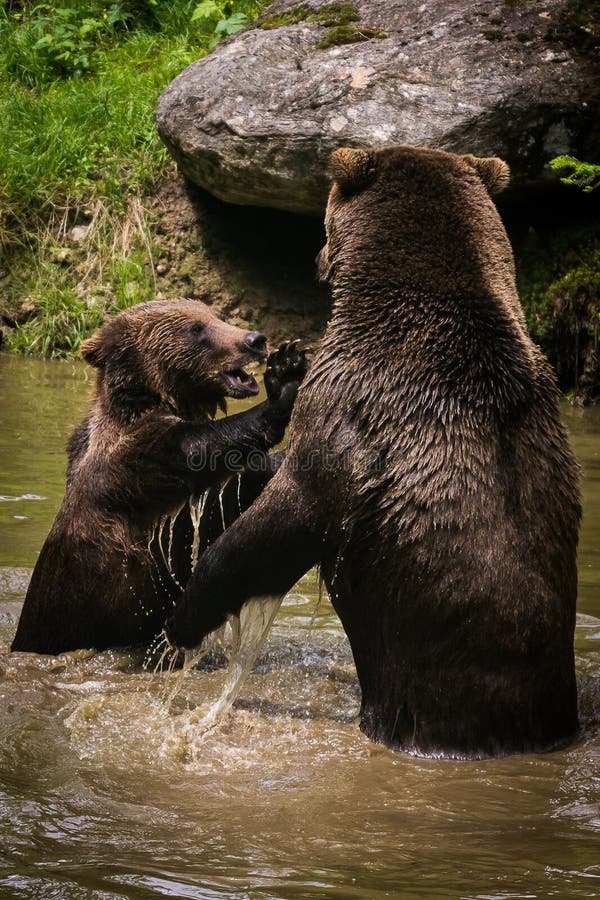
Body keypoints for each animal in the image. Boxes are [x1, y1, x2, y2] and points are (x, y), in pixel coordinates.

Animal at [11, 299, 308, 655]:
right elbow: (199, 453)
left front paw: (289, 365)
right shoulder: (133, 467)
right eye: (197, 329)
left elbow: (226, 498)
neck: (158, 396)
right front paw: (283, 385)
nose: (255, 340)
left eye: (219, 317)